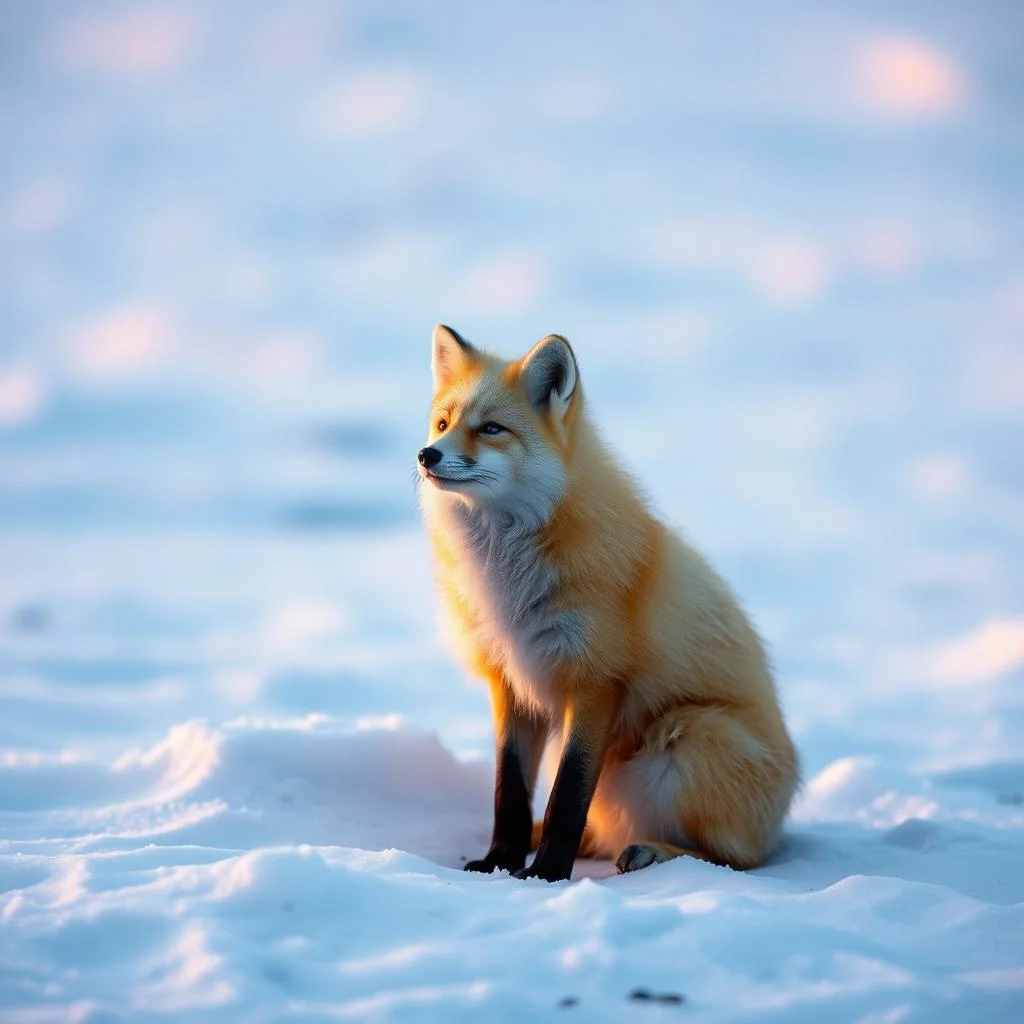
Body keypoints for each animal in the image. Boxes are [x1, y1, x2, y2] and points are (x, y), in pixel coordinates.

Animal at [417, 324, 799, 883]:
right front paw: (501, 861)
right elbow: (510, 792)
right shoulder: (510, 680)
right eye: (442, 423)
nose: (427, 455)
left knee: (737, 859)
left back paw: (656, 851)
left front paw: (547, 874)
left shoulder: (596, 679)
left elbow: (566, 797)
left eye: (491, 429)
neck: (511, 581)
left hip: (690, 737)